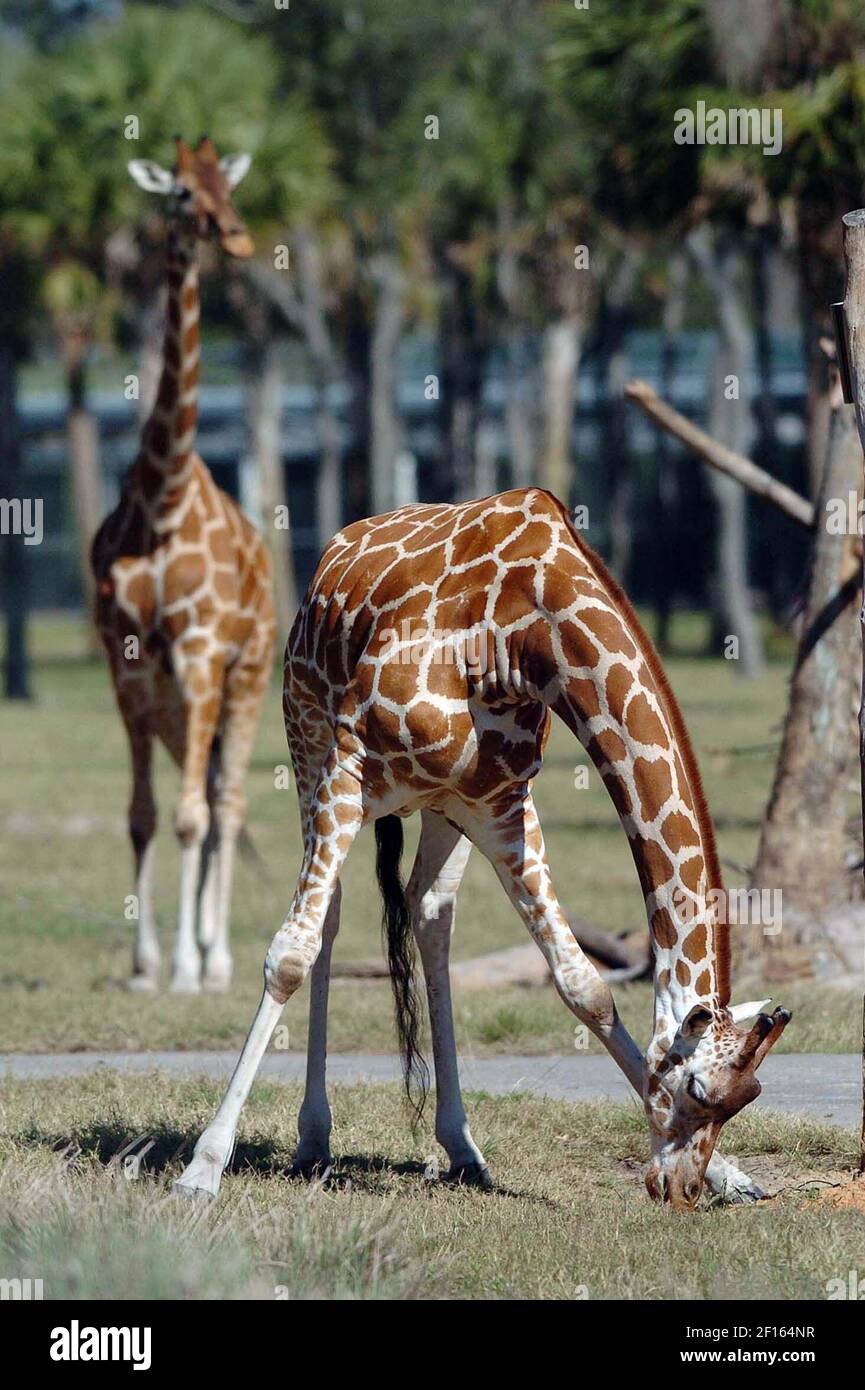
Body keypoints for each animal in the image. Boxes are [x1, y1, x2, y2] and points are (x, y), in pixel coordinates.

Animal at [174, 487, 789, 1209]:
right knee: (329, 914)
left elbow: (582, 984)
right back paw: (314, 1140)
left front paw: (733, 1173)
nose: (679, 1187)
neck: (524, 632)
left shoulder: (500, 806)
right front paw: (203, 1167)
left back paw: (462, 1147)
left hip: (444, 807)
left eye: (745, 1100)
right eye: (697, 1089)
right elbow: (289, 955)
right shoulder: (350, 768)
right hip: (307, 741)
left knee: (428, 912)